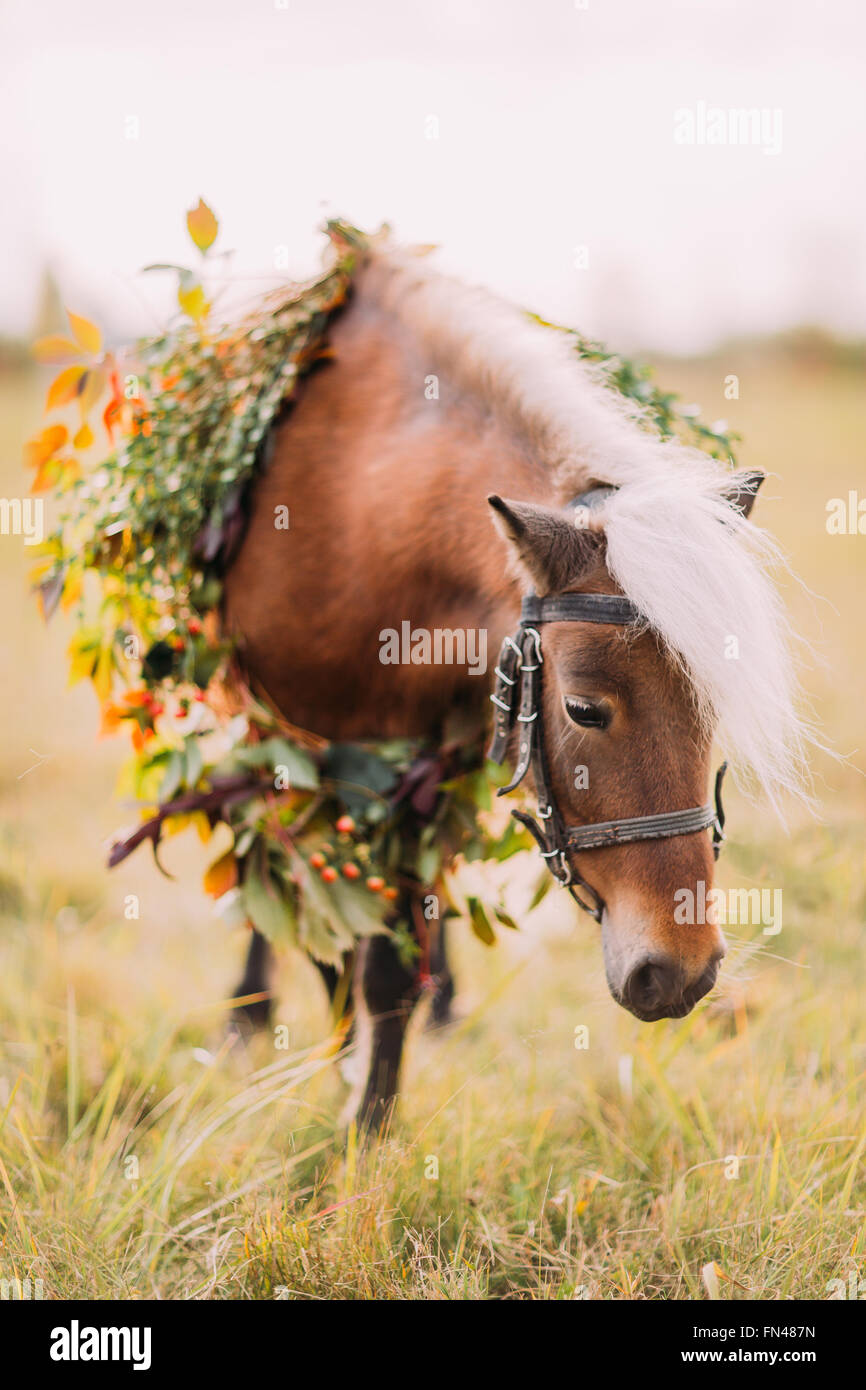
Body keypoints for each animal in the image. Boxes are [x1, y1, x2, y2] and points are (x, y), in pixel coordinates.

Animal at [222, 234, 812, 1130]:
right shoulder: (293, 735)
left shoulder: (426, 758)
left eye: (714, 712)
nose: (680, 974)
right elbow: (318, 916)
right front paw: (345, 1099)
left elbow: (388, 954)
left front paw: (367, 1099)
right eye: (584, 709)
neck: (360, 502)